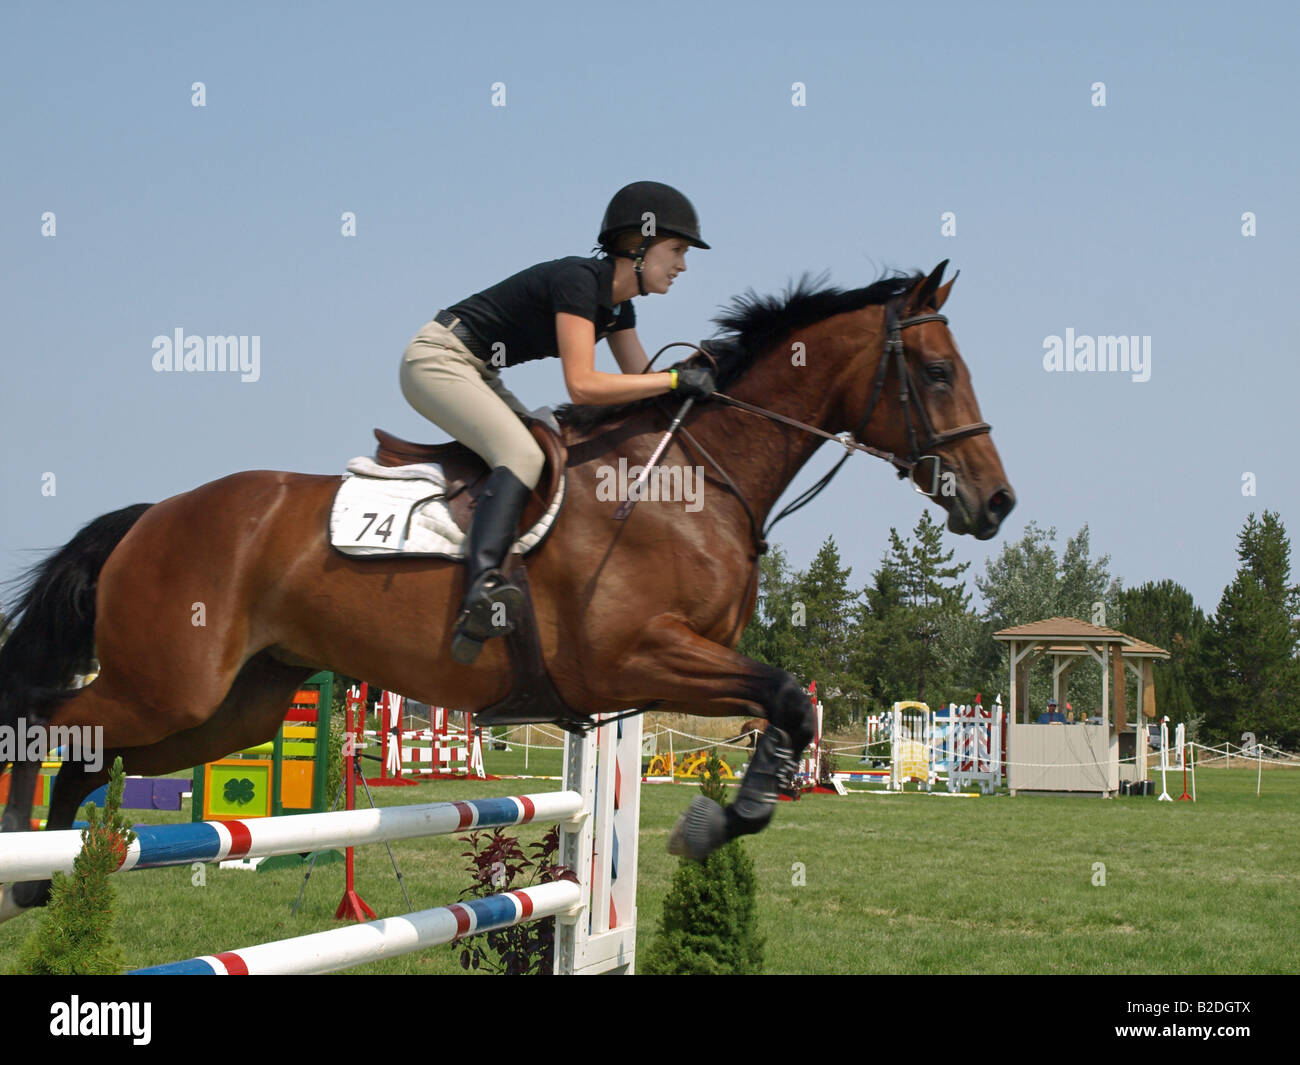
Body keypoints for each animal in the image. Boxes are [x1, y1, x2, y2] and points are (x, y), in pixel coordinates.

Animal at [0, 261, 1014, 920]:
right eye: (936, 372)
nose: (996, 502)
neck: (696, 475)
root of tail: (153, 515)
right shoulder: (635, 655)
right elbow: (792, 697)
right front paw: (717, 822)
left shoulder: (671, 665)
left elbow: (787, 705)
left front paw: (729, 814)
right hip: (171, 683)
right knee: (47, 729)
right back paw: (21, 871)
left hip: (228, 707)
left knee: (87, 758)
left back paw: (51, 879)